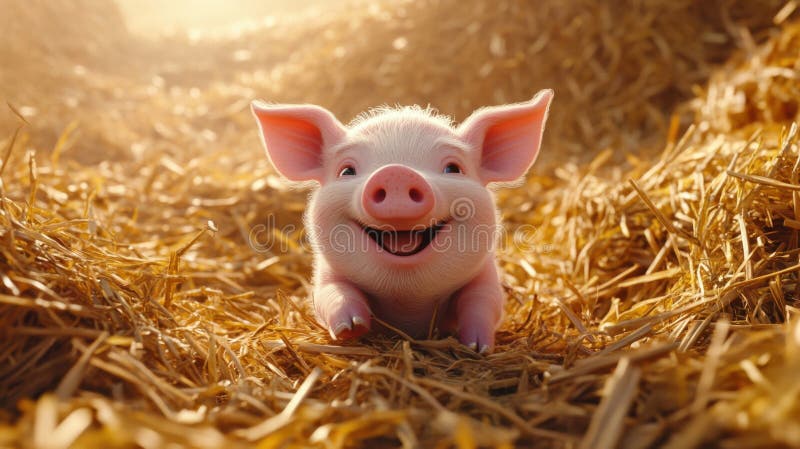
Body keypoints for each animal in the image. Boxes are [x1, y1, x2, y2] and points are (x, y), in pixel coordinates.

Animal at [252, 89, 553, 353]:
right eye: (347, 171)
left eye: (453, 168)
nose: (396, 172)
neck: (407, 299)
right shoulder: (326, 276)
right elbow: (334, 294)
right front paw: (351, 327)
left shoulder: (485, 275)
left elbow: (482, 301)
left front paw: (477, 347)